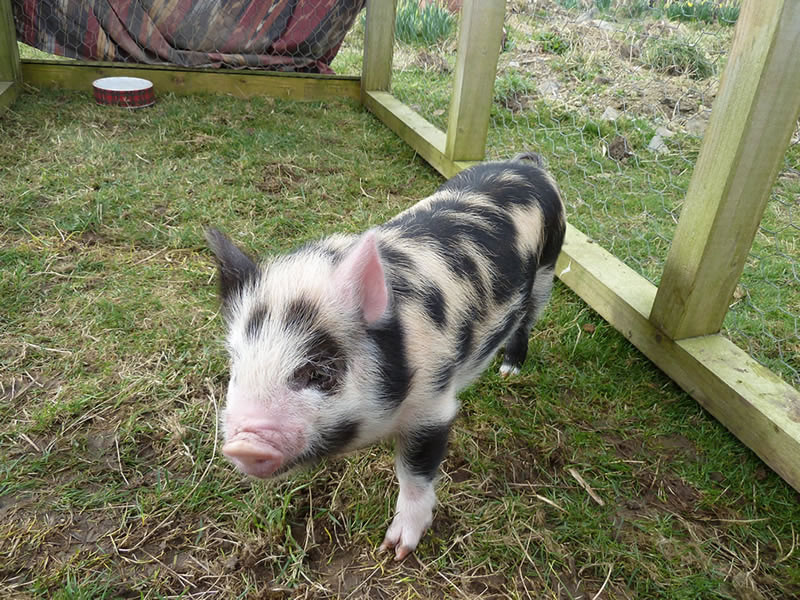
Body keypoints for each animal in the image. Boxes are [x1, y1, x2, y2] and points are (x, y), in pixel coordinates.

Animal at [206, 153, 566, 560]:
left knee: (528, 318)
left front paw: (396, 549)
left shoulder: (433, 405)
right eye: (236, 366)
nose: (242, 443)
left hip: (547, 267)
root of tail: (527, 164)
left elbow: (415, 473)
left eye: (320, 372)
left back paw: (510, 370)